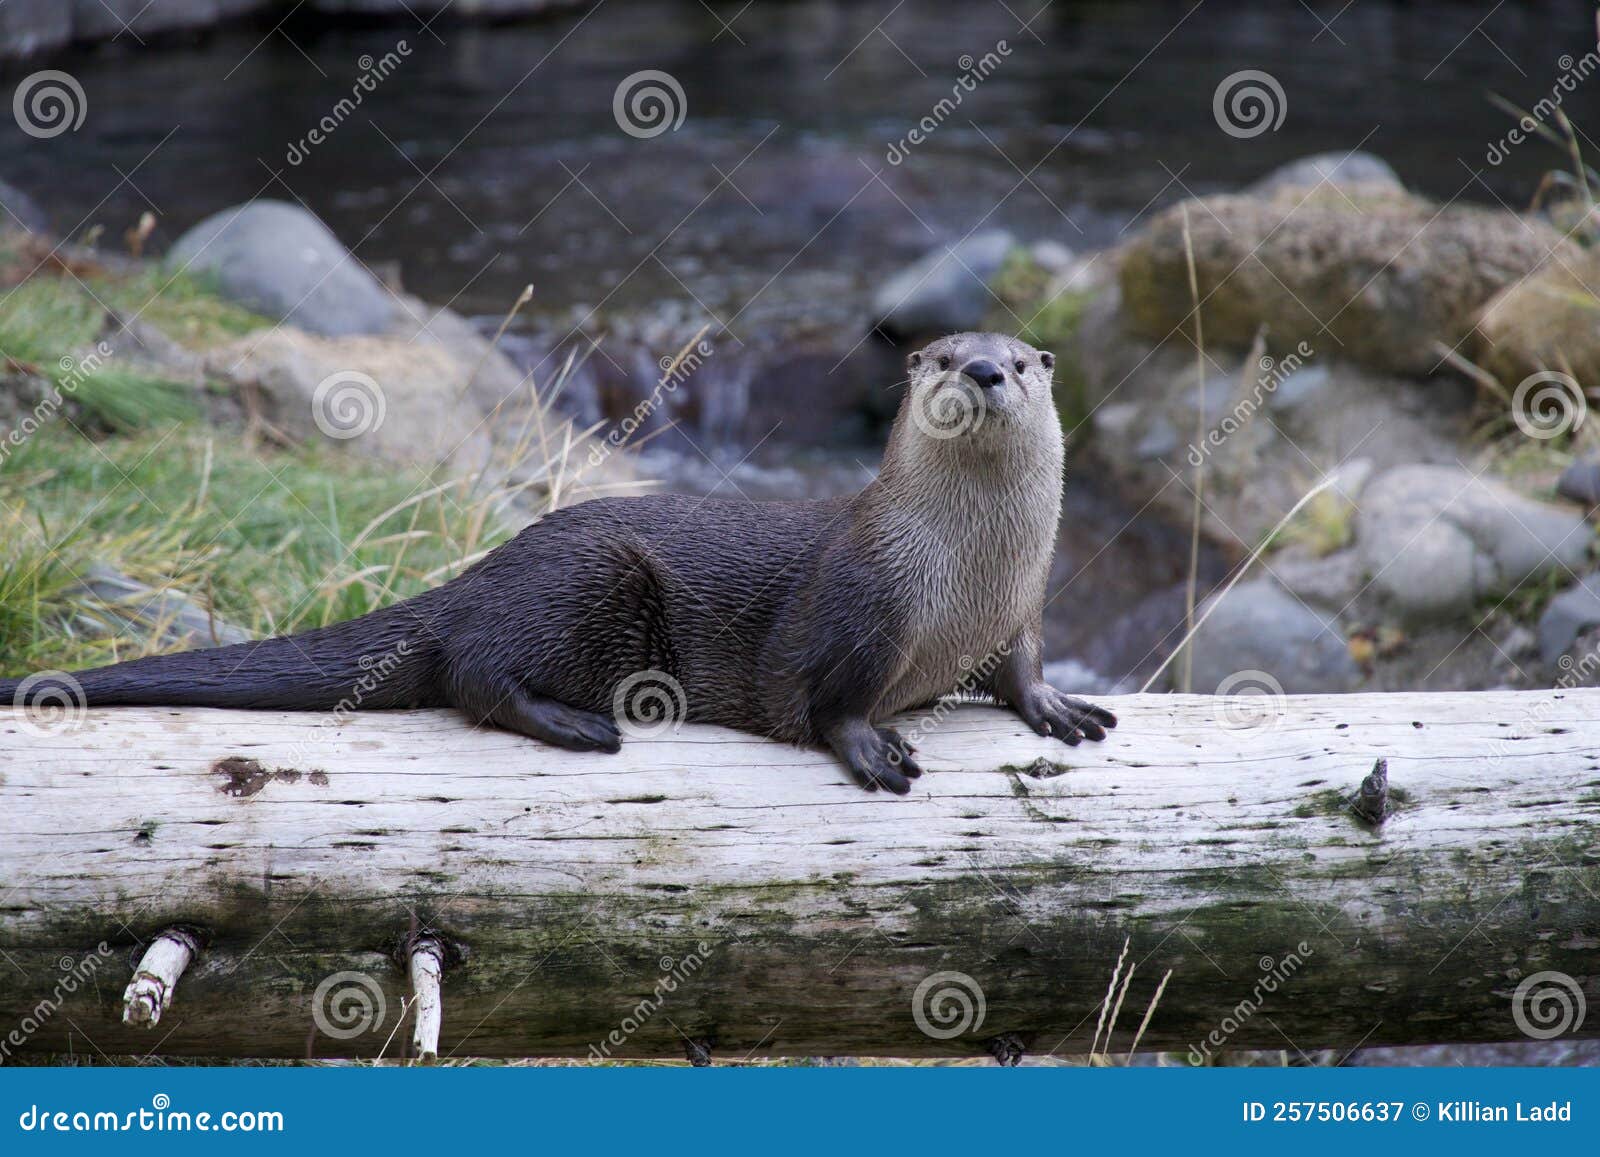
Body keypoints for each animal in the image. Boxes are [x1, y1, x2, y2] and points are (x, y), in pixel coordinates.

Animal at [2, 332, 1114, 794]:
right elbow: (822, 696)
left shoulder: (1021, 606)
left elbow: (1021, 666)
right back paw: (577, 725)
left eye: (1020, 360)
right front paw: (872, 746)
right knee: (471, 670)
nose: (983, 370)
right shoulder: (857, 603)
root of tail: (483, 571)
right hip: (592, 582)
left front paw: (1058, 706)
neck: (966, 576)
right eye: (942, 357)